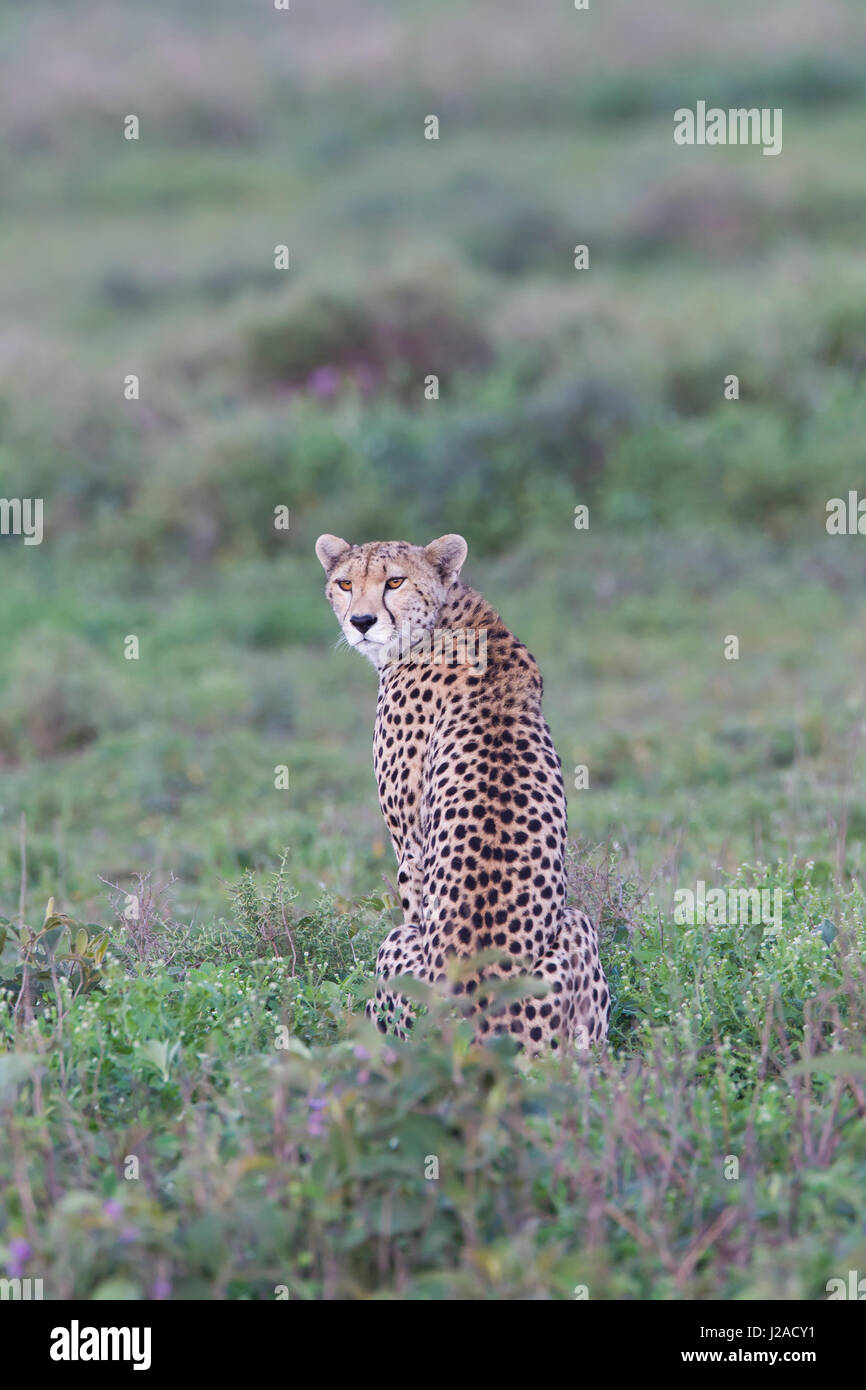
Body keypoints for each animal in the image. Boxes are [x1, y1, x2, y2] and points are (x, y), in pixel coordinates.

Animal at [315, 531, 610, 1055]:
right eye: (345, 583)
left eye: (395, 581)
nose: (361, 622)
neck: (446, 618)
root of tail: (483, 1027)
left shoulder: (410, 851)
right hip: (577, 931)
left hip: (402, 944)